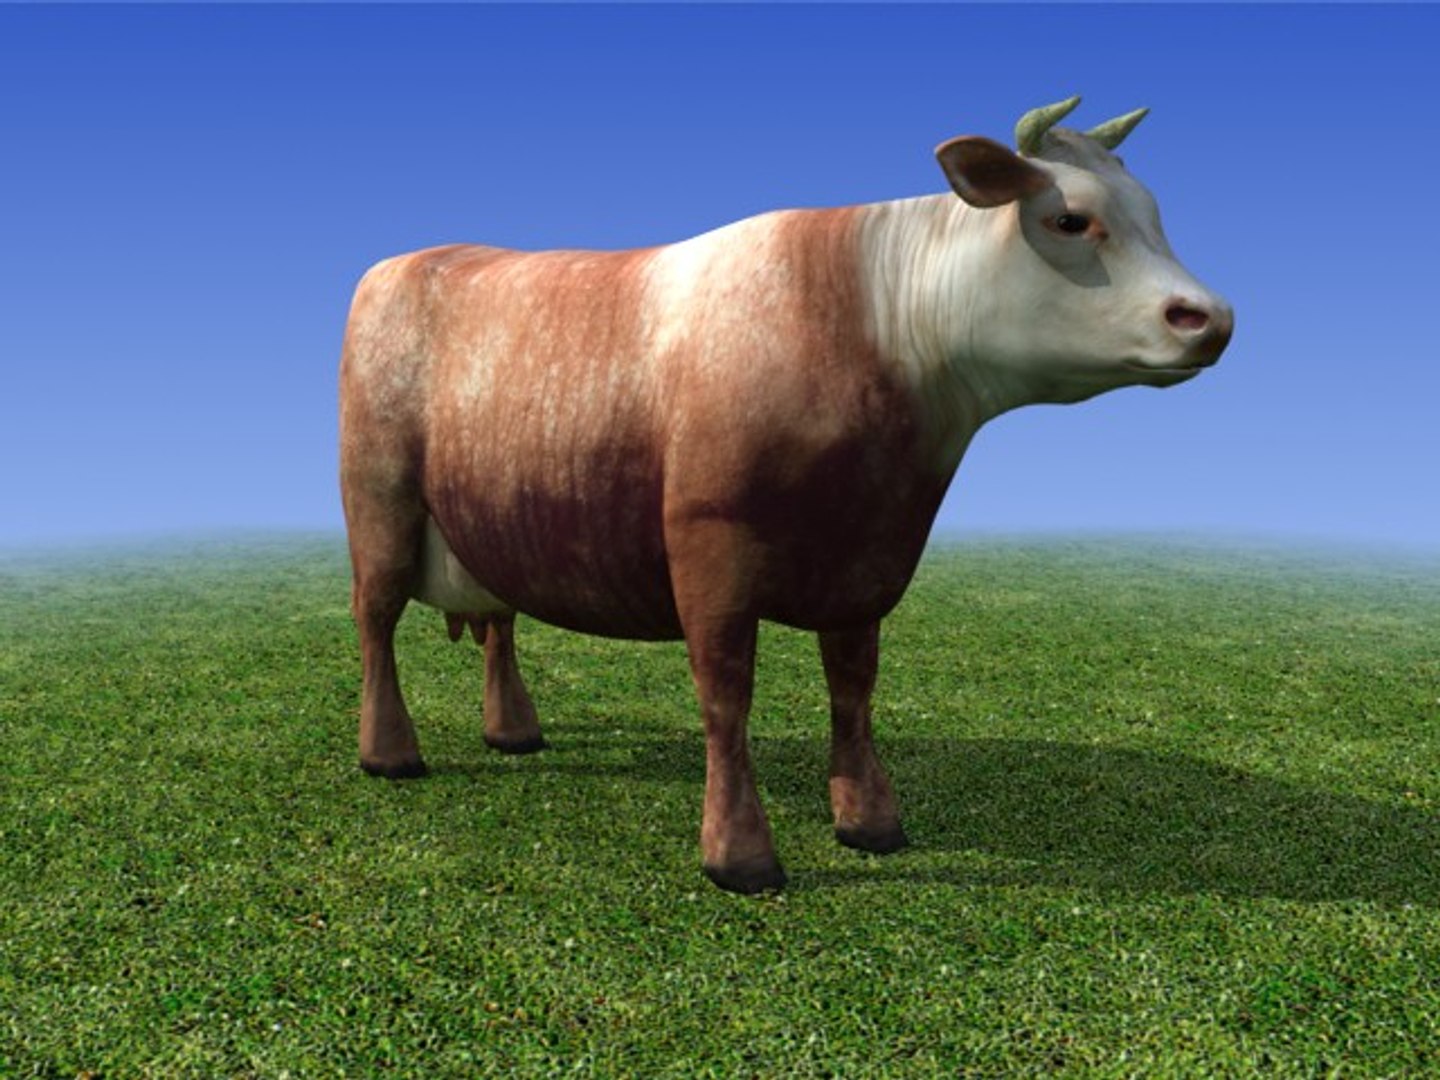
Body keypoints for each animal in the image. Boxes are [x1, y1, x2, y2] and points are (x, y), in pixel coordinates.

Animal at [338, 97, 1233, 894]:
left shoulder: (867, 562)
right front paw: (740, 856)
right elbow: (727, 697)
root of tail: (414, 259)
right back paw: (390, 754)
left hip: (487, 511)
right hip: (379, 501)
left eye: (1155, 214)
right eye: (1070, 220)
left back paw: (514, 732)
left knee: (498, 621)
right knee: (375, 622)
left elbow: (854, 690)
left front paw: (871, 822)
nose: (1211, 318)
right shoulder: (709, 548)